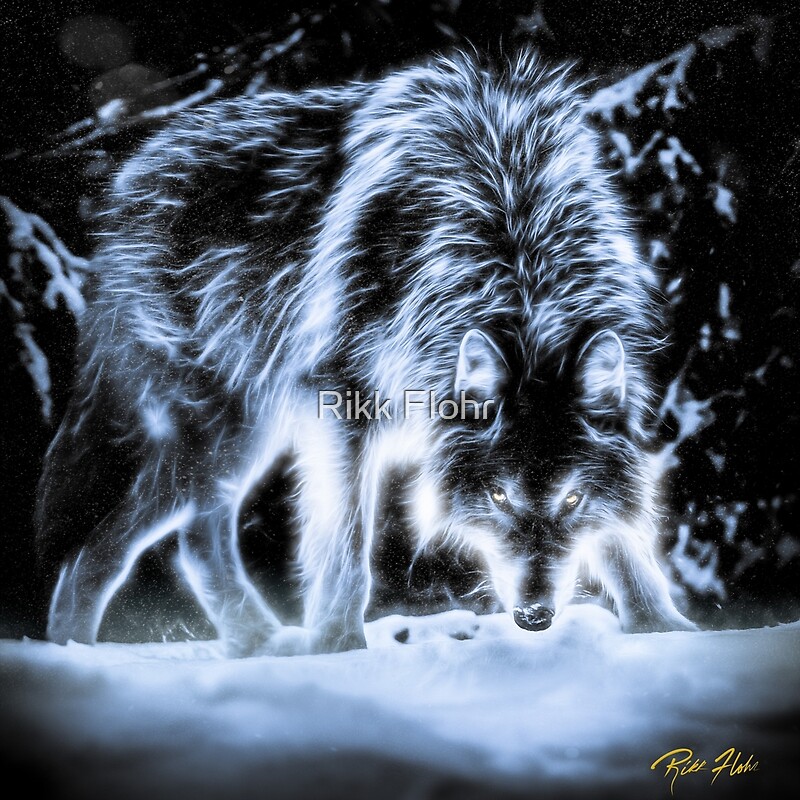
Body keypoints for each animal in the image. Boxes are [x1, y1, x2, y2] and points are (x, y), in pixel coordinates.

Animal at [37, 50, 694, 655]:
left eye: (573, 498)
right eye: (499, 496)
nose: (535, 617)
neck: (509, 213)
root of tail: (133, 170)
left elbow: (623, 538)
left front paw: (664, 629)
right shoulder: (340, 406)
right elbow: (346, 548)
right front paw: (338, 648)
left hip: (241, 438)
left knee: (192, 540)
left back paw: (262, 645)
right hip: (217, 433)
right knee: (103, 550)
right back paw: (73, 656)